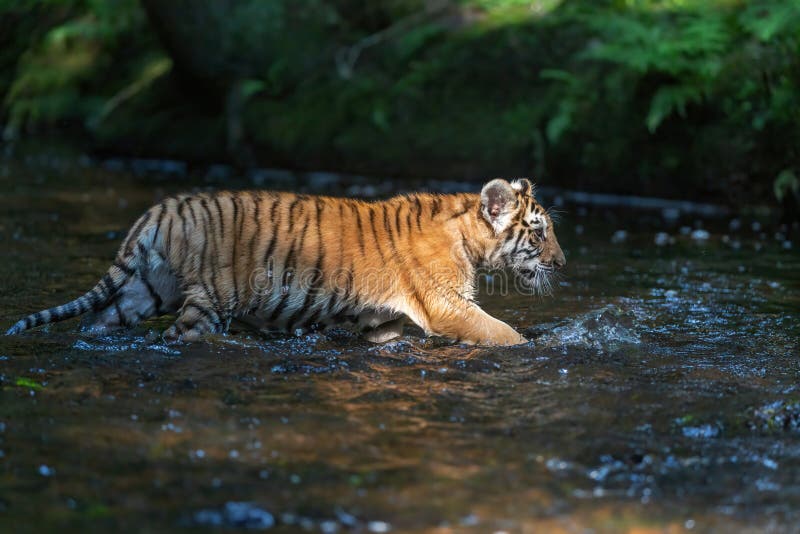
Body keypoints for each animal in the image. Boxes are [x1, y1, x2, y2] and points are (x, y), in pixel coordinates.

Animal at [5, 178, 565, 345]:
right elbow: (503, 334)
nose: (561, 264)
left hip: (148, 291)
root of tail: (165, 208)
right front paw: (530, 348)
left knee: (103, 317)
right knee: (179, 335)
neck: (469, 236)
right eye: (539, 231)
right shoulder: (448, 305)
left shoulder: (383, 317)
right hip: (208, 301)